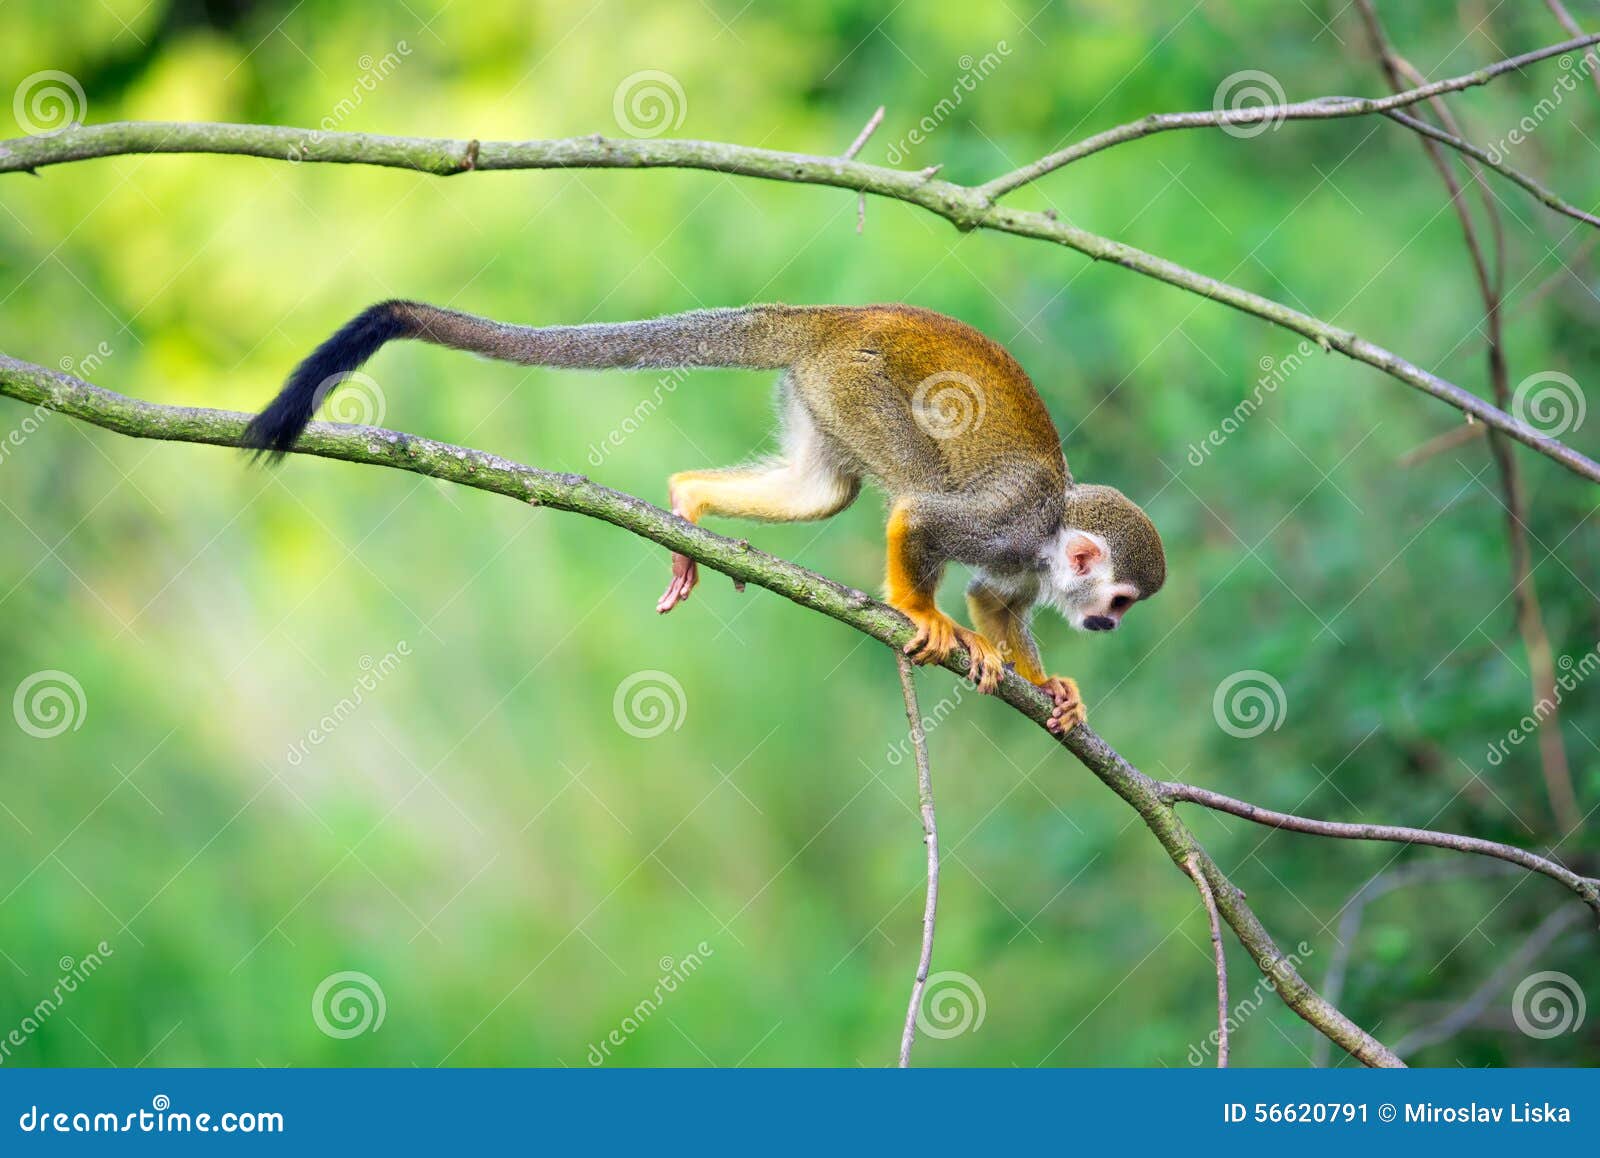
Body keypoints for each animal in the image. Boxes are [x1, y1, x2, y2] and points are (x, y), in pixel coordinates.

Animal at [243, 301, 1166, 733]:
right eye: (1120, 600)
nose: (1112, 627)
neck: (1049, 536)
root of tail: (835, 317)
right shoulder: (1011, 520)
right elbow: (924, 523)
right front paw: (926, 616)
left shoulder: (1023, 560)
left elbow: (996, 600)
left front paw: (1048, 683)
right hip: (857, 381)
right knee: (904, 485)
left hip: (821, 390)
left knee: (825, 490)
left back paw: (688, 500)